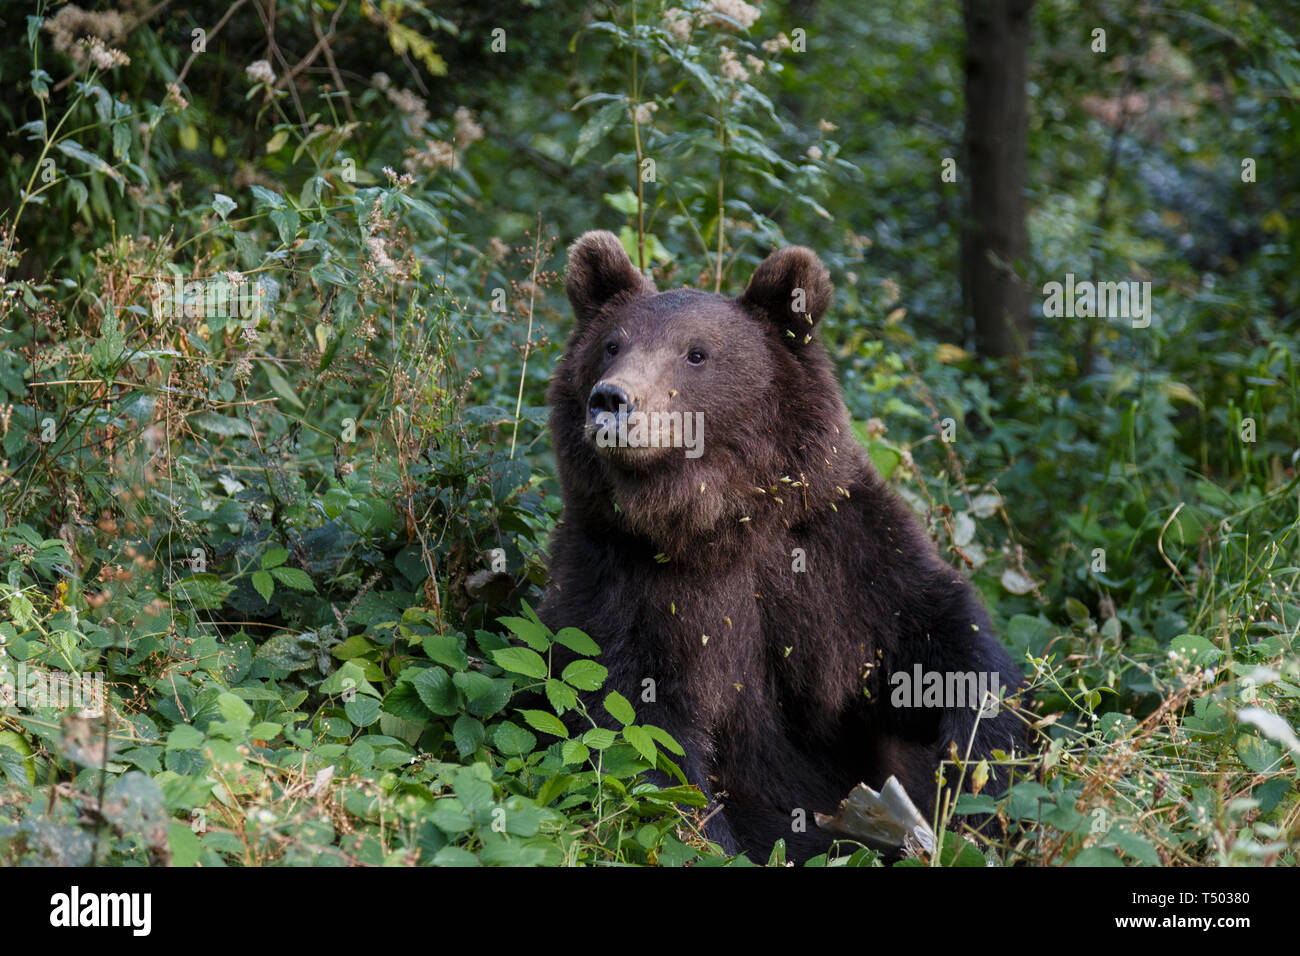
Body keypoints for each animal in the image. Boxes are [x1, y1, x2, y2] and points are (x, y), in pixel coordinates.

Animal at [538, 230, 1026, 863]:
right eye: (611, 345)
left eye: (697, 353)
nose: (612, 400)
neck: (718, 523)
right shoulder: (618, 583)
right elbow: (637, 728)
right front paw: (708, 841)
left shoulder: (841, 553)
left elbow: (940, 640)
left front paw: (982, 773)